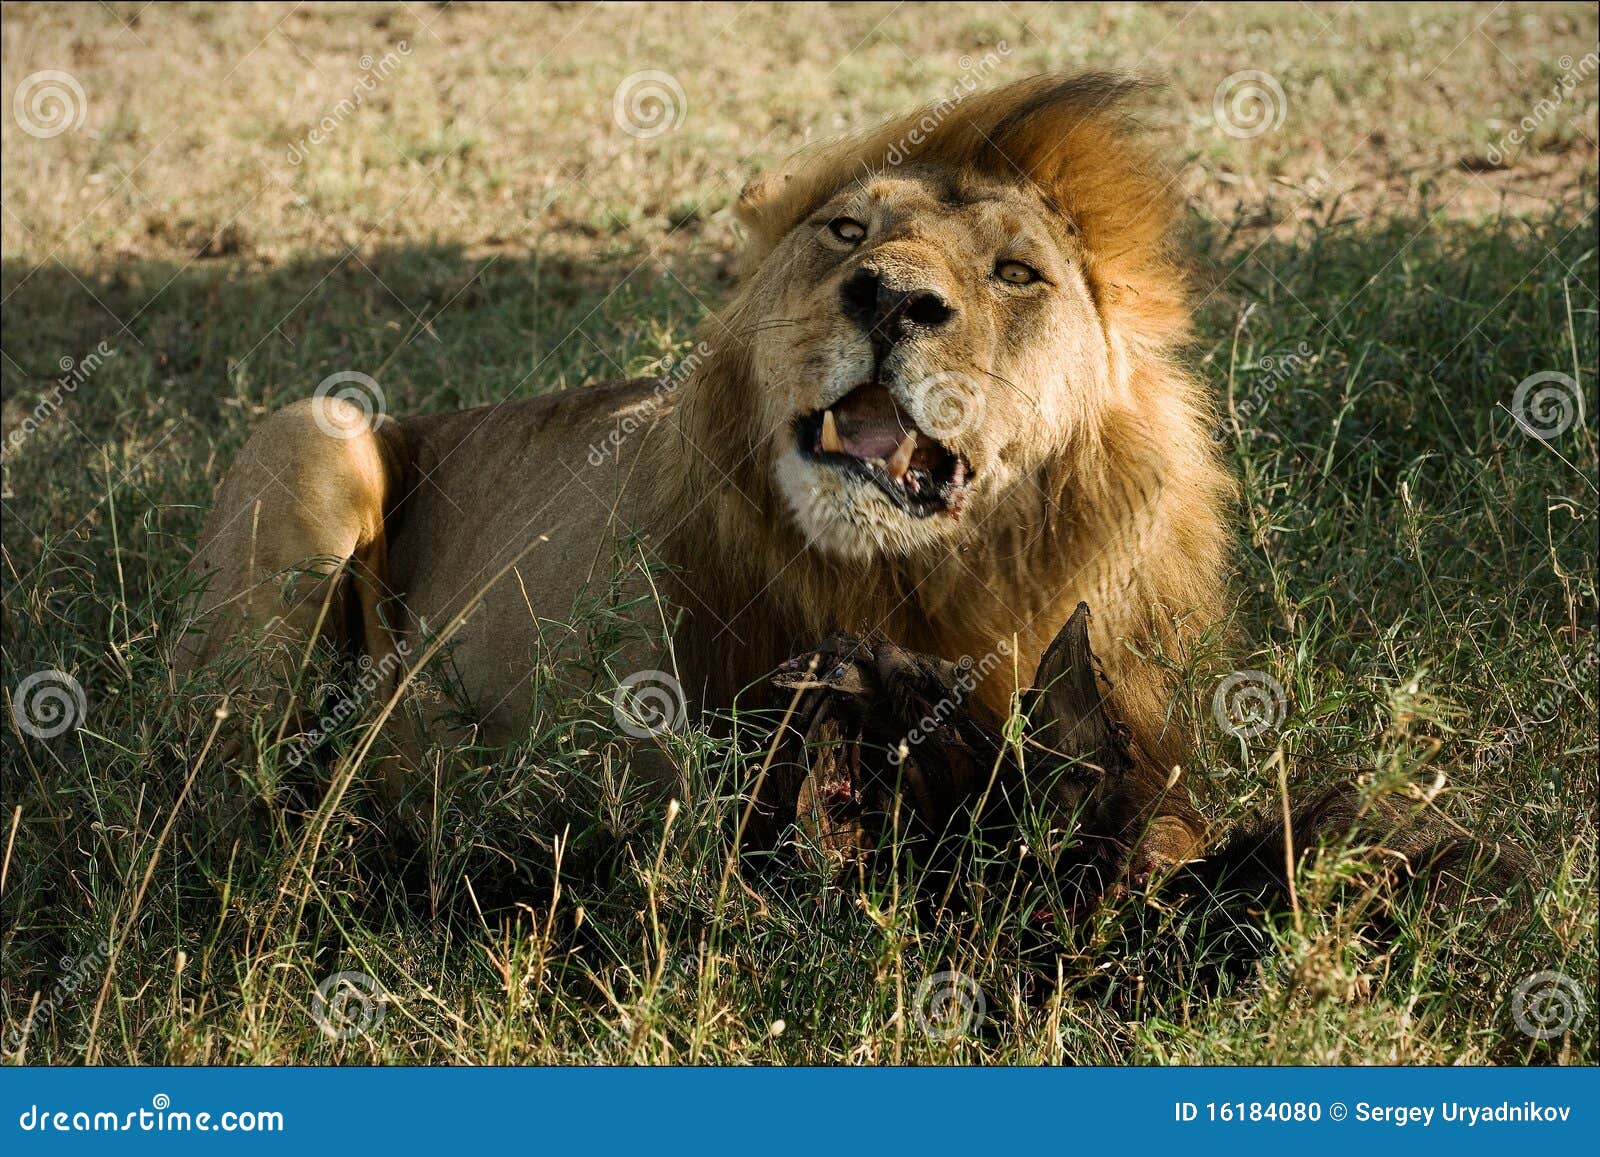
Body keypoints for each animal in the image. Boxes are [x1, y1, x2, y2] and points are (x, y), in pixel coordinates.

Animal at [178, 73, 1234, 871]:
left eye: (1017, 275)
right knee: (222, 790)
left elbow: (1167, 827)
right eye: (846, 233)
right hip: (315, 429)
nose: (891, 297)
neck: (906, 585)